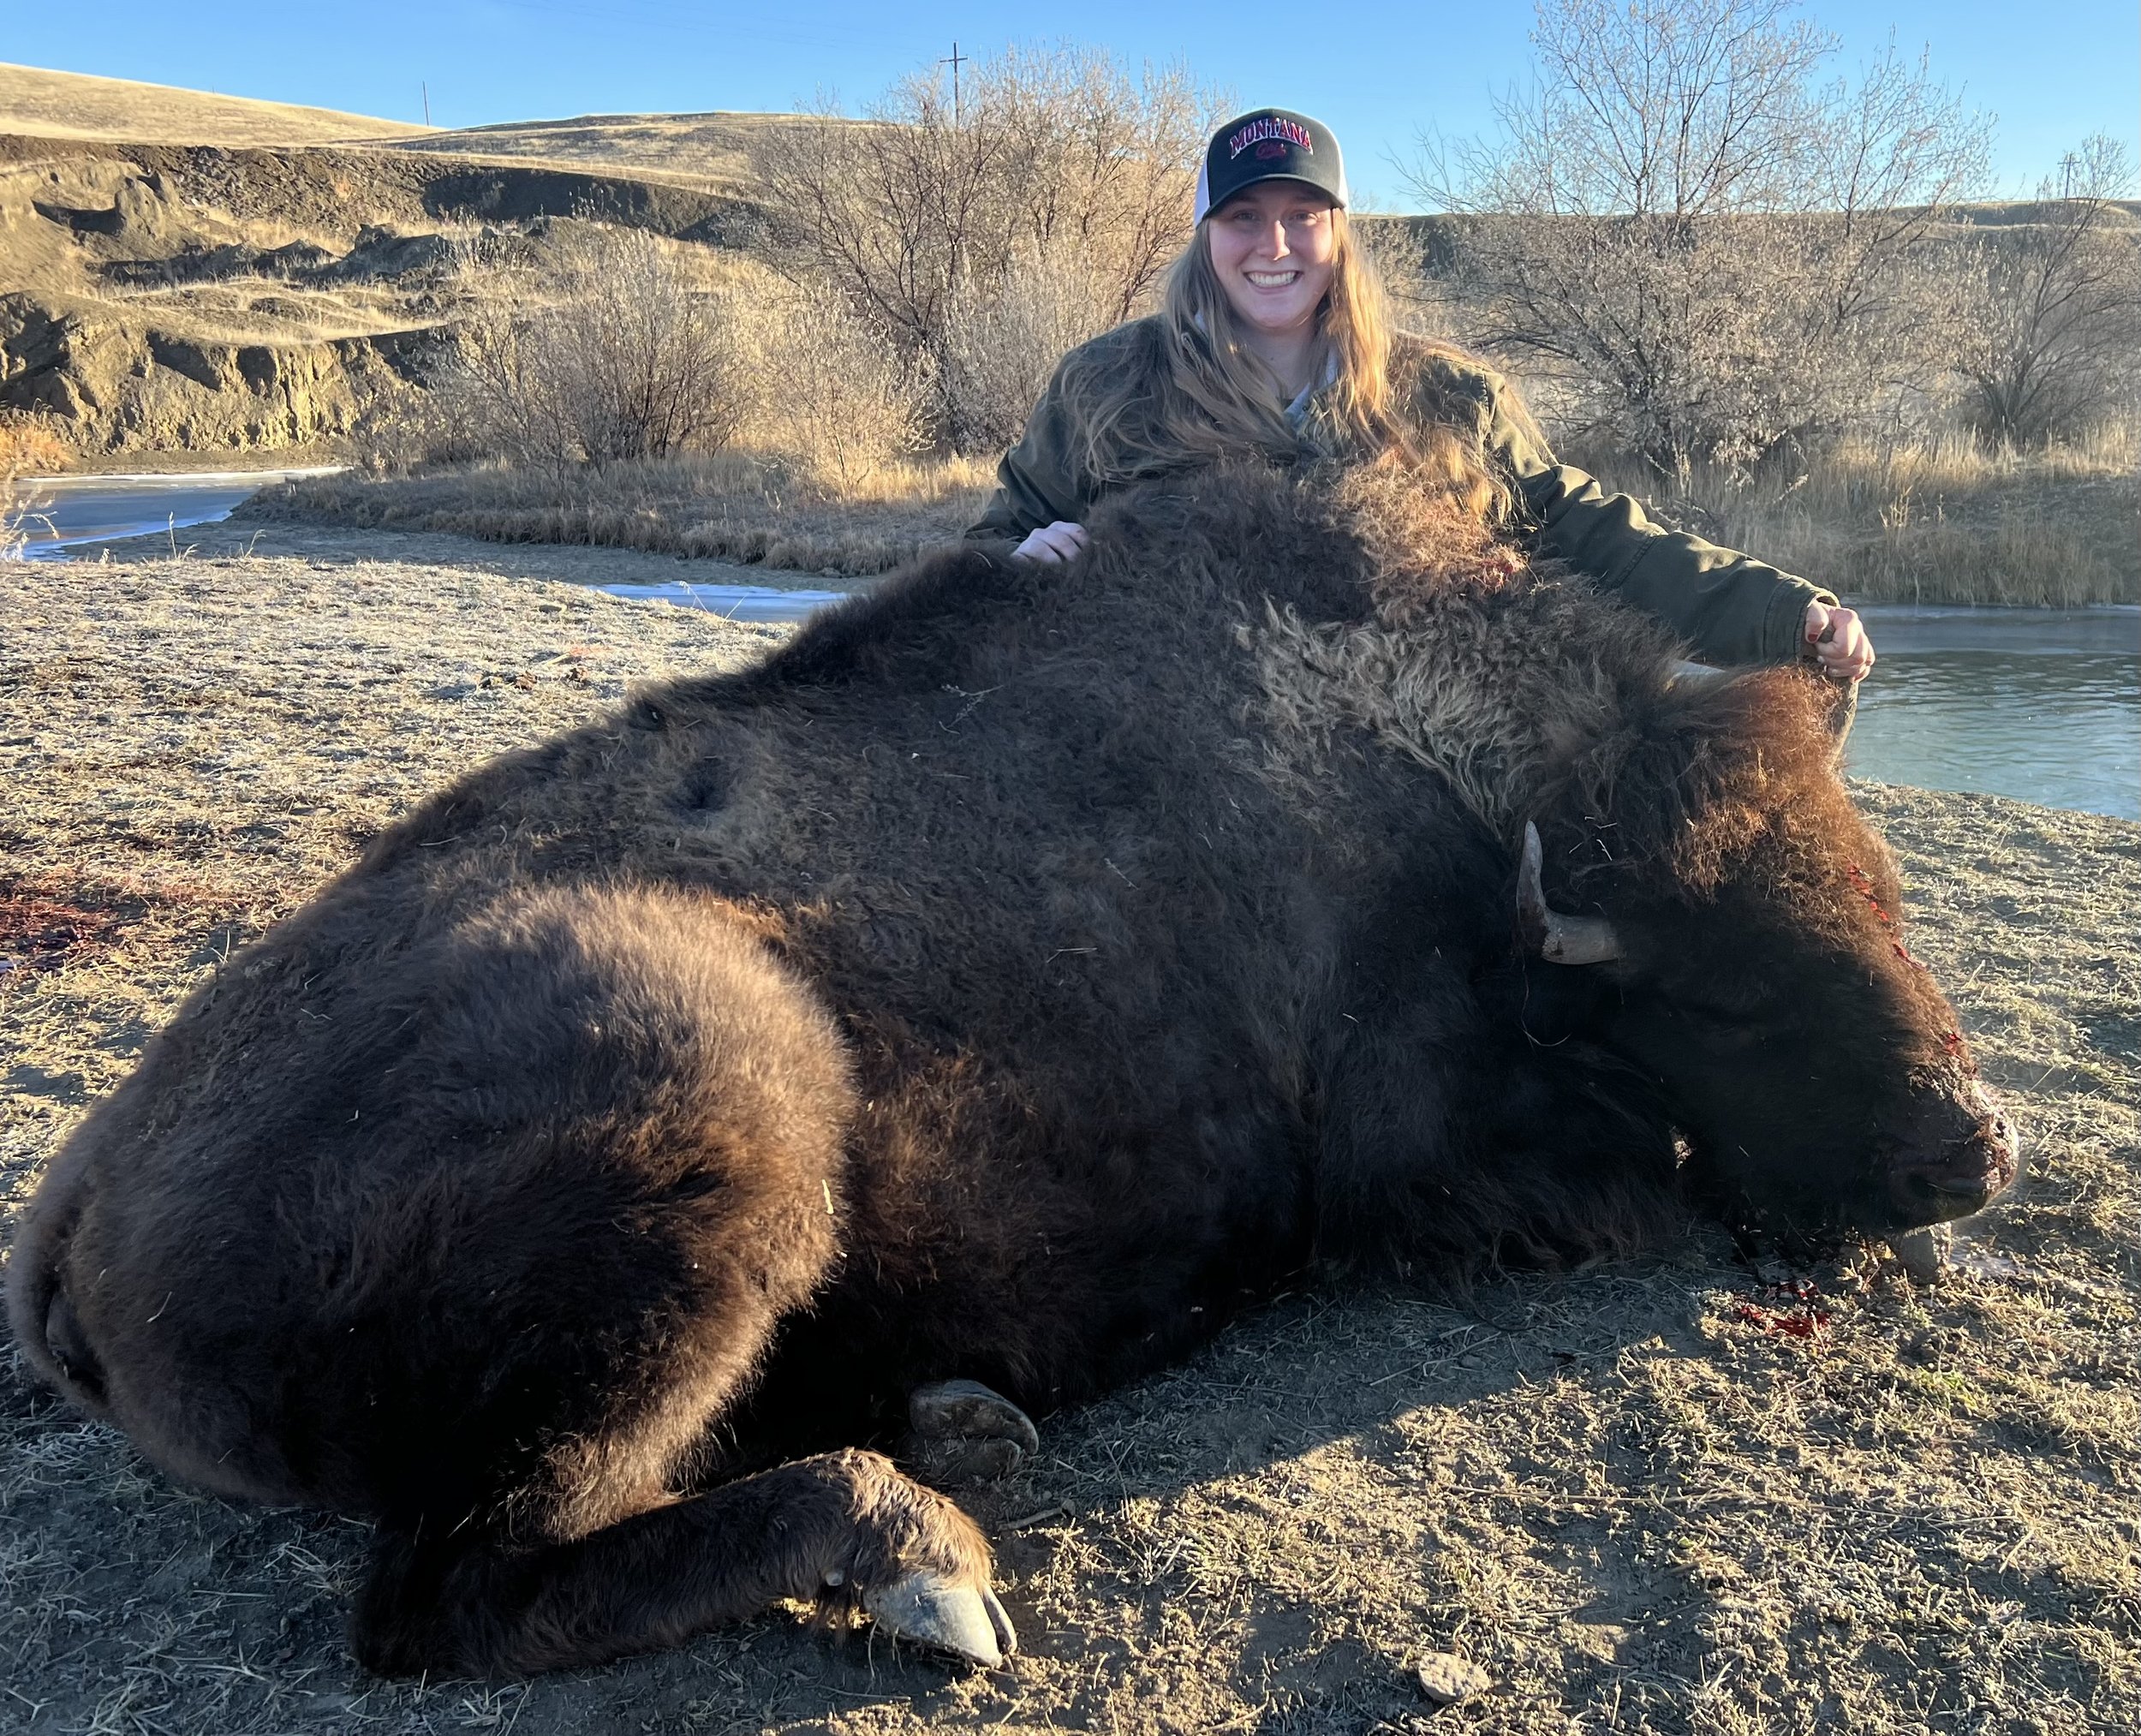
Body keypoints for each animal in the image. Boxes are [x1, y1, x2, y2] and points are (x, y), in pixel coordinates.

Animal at [7, 464, 2015, 1680]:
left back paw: (962, 1418)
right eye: (1724, 994)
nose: (1971, 1150)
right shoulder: (1431, 1146)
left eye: (1886, 896)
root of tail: (74, 1210)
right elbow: (1643, 1176)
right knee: (461, 1585)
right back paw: (929, 1561)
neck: (1440, 770)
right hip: (722, 1083)